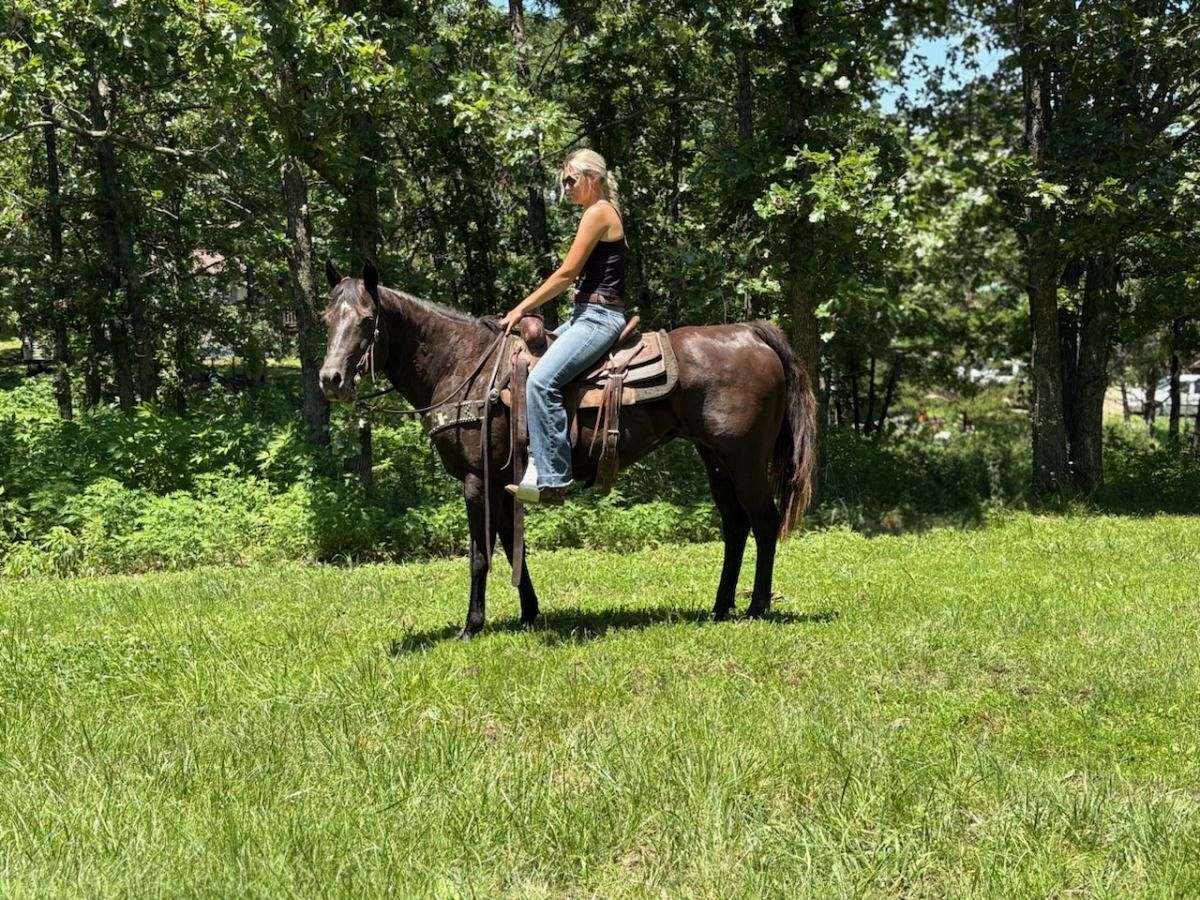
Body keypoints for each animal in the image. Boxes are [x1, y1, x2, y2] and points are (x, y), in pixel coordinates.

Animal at [319, 260, 817, 640]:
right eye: (327, 320)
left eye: (366, 320)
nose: (331, 379)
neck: (463, 365)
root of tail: (751, 333)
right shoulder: (504, 480)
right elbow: (510, 546)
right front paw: (529, 613)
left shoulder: (477, 479)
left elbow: (481, 553)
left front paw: (471, 626)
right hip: (714, 458)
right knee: (735, 526)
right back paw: (720, 607)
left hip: (744, 458)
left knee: (764, 521)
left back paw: (755, 607)